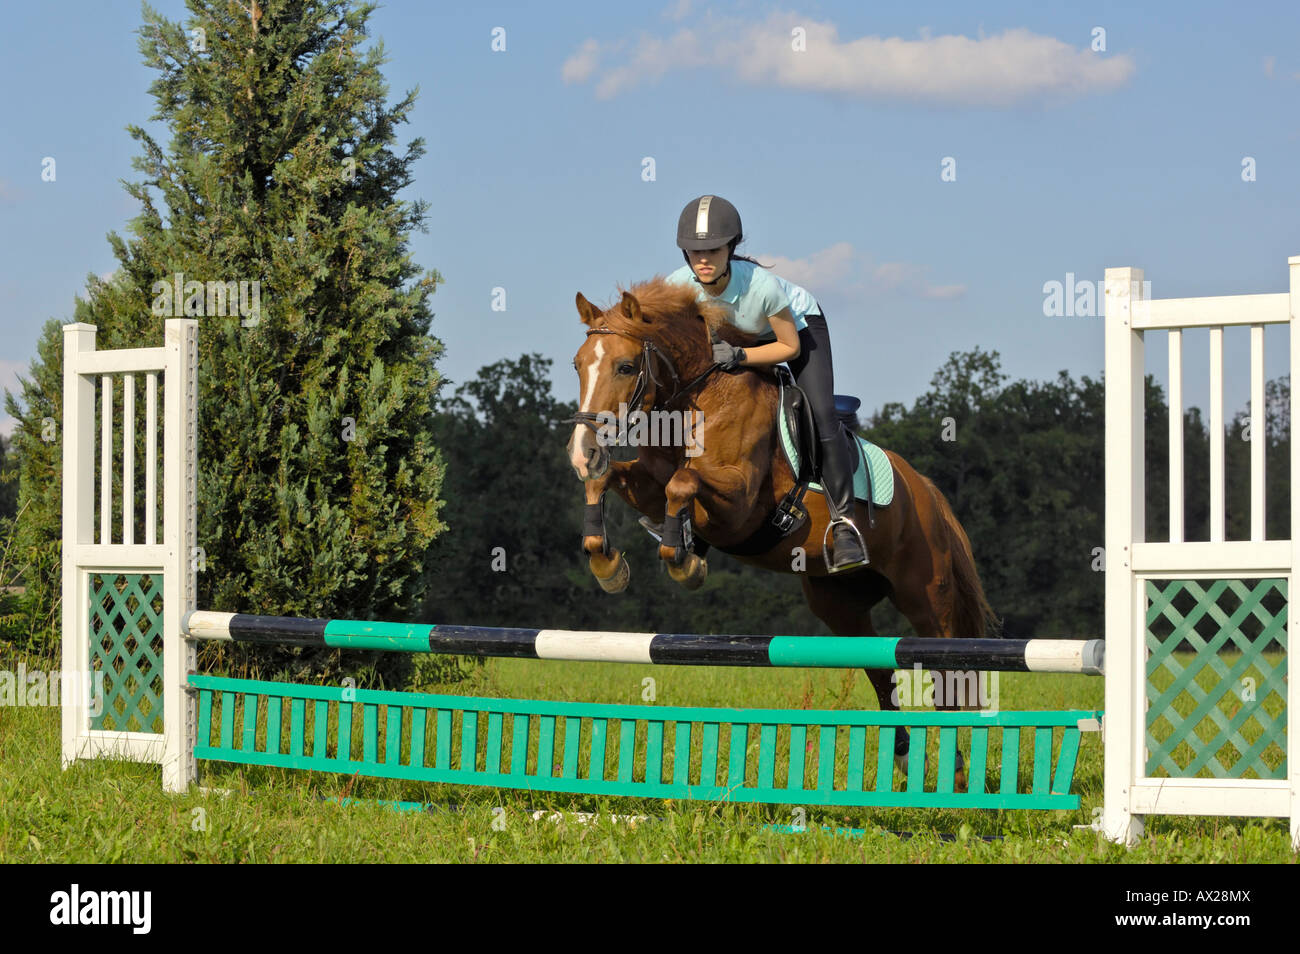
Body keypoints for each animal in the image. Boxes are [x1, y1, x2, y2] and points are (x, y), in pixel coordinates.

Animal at [565, 278, 998, 779]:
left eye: (626, 366)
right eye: (577, 365)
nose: (582, 450)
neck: (699, 397)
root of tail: (923, 487)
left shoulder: (738, 508)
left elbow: (683, 483)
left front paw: (683, 561)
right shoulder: (649, 488)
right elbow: (610, 482)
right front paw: (608, 564)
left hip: (926, 596)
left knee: (950, 673)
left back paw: (956, 769)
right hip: (839, 606)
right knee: (880, 671)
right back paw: (908, 756)